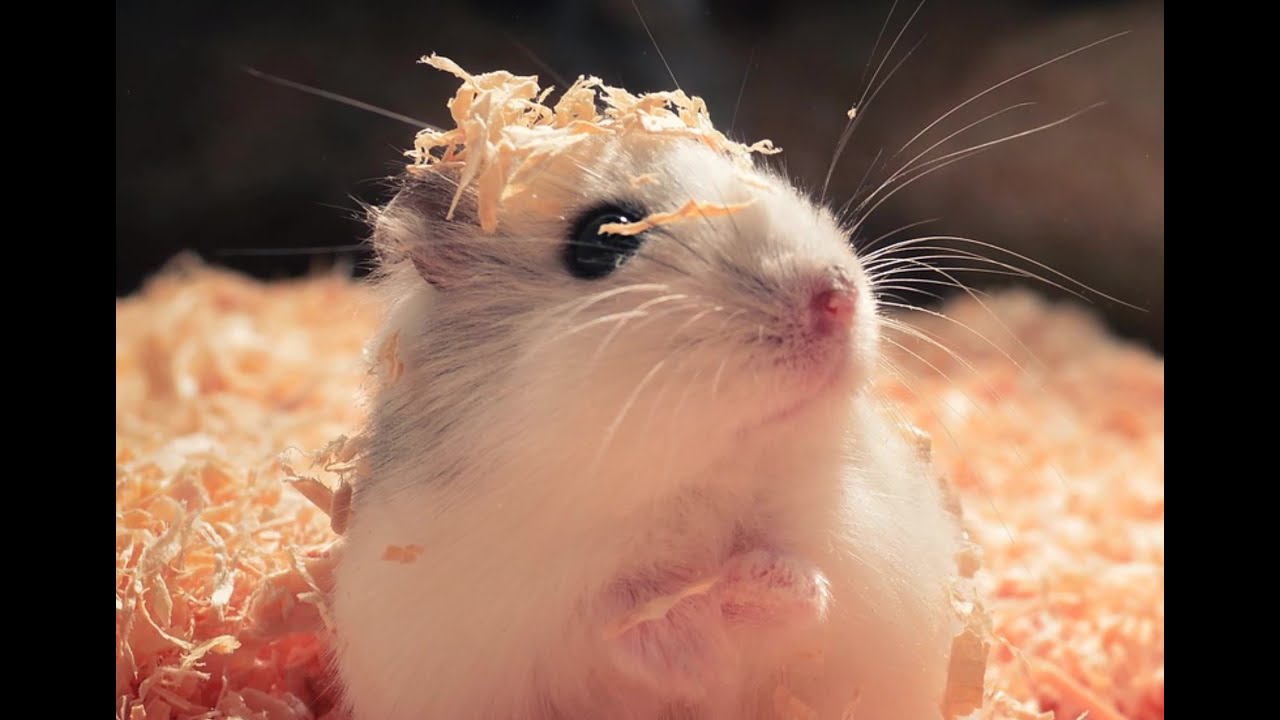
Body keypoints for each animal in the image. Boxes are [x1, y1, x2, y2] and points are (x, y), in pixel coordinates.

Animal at [330, 68, 967, 720]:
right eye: (599, 242)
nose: (837, 299)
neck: (693, 479)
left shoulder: (857, 539)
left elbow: (807, 582)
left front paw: (754, 588)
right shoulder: (526, 597)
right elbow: (617, 619)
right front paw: (696, 638)